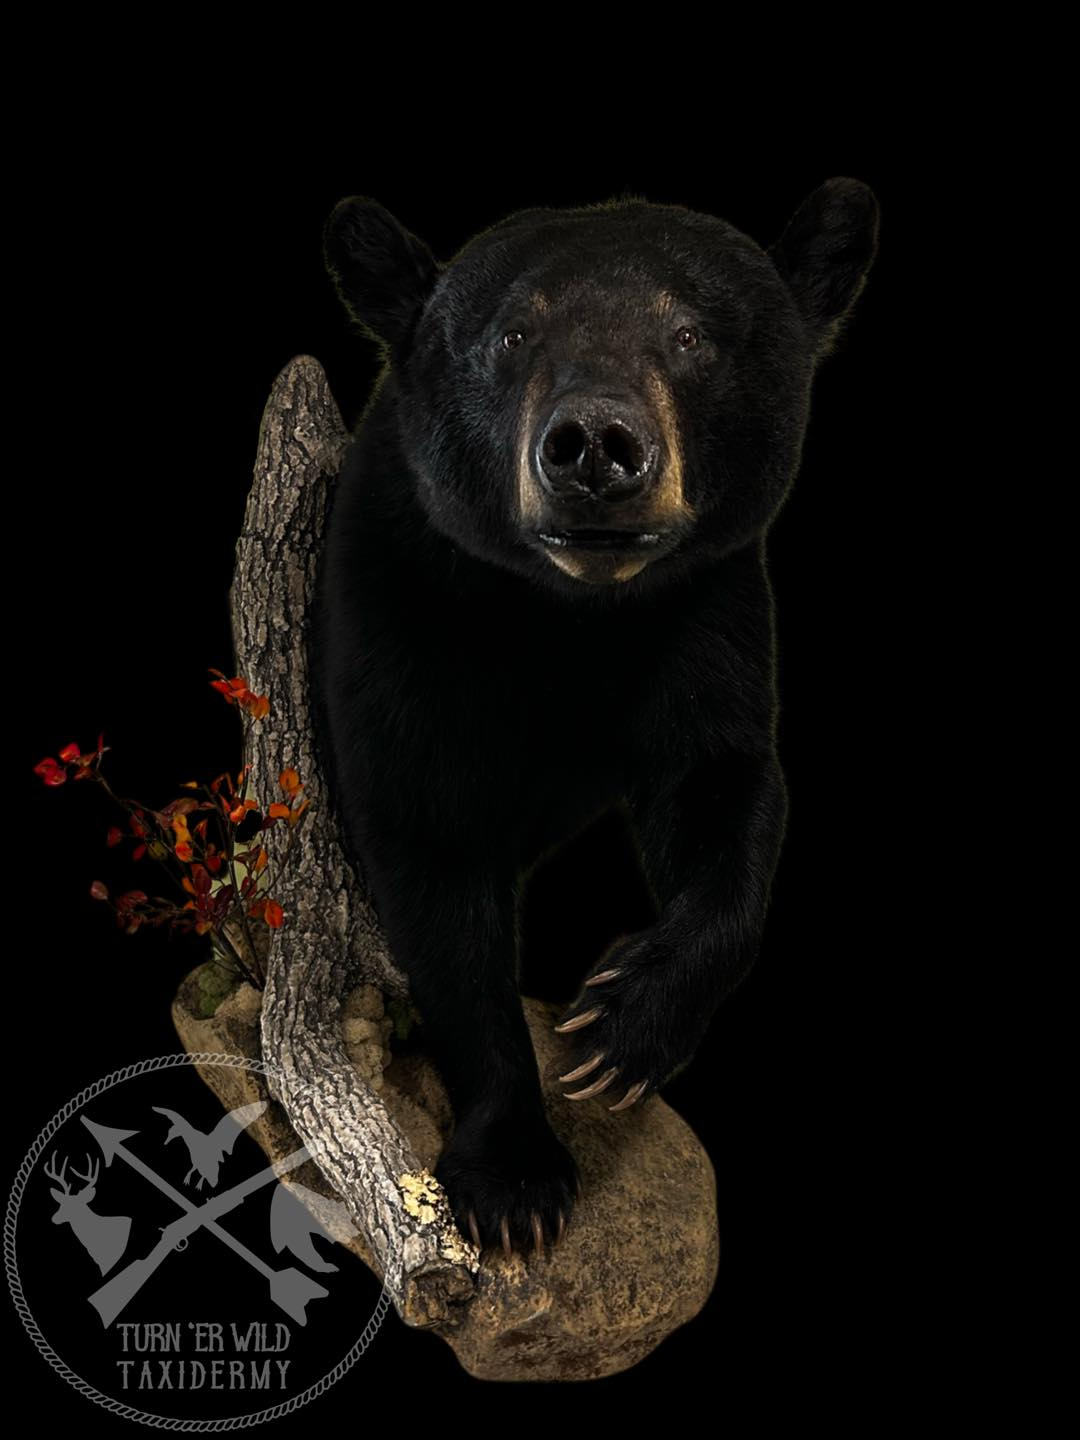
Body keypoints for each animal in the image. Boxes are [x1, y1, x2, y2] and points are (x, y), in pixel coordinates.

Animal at [309, 180, 879, 1260]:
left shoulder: (707, 612)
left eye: (691, 335)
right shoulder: (394, 621)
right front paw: (513, 1179)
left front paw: (621, 1026)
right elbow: (432, 867)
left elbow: (728, 792)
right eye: (511, 334)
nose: (596, 446)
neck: (567, 617)